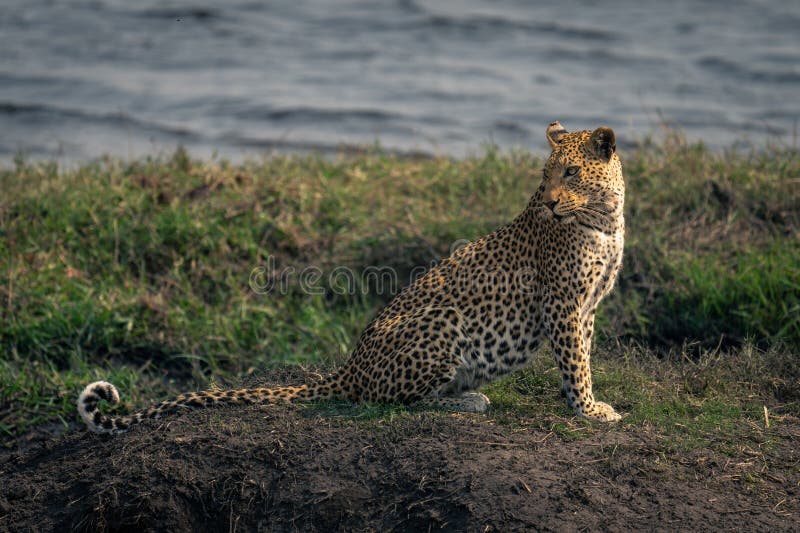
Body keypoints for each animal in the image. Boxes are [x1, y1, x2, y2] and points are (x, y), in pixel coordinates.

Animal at [79, 121, 625, 434]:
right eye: (545, 175)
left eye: (570, 173)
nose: (551, 202)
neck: (606, 219)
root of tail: (349, 368)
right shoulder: (562, 302)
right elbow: (575, 358)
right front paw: (589, 410)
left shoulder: (588, 306)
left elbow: (581, 352)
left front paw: (581, 401)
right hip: (442, 322)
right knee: (396, 404)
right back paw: (469, 400)